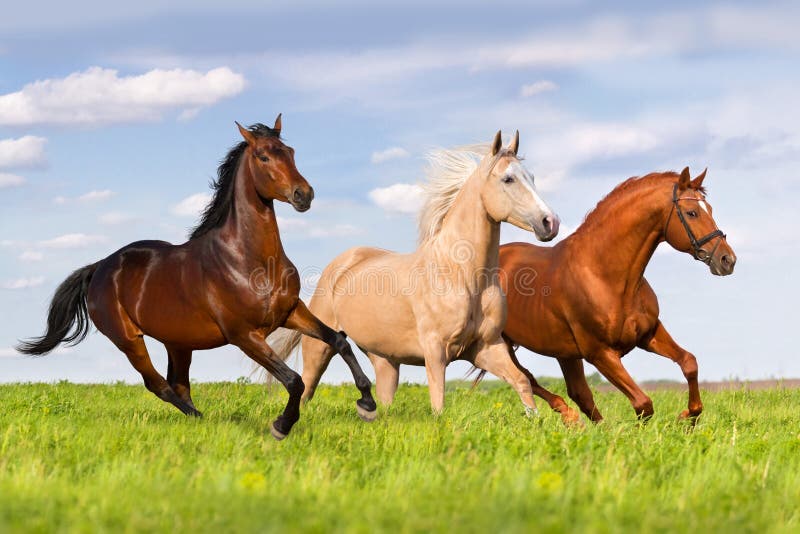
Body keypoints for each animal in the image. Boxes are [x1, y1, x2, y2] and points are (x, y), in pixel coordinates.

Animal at [18, 115, 377, 440]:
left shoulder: (291, 312)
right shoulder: (244, 334)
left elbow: (339, 341)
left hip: (178, 342)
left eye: (290, 151)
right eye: (263, 156)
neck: (249, 260)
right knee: (159, 384)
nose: (304, 194)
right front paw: (281, 425)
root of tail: (100, 267)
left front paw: (367, 404)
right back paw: (204, 419)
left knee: (178, 384)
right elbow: (293, 380)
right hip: (129, 340)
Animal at [268, 130, 566, 417]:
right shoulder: (435, 351)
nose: (550, 223)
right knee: (307, 388)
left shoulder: (485, 347)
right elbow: (438, 403)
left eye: (532, 177)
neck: (462, 276)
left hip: (384, 359)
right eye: (508, 179)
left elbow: (522, 382)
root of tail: (340, 264)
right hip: (318, 348)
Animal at [486, 167, 736, 422]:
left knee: (576, 392)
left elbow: (689, 362)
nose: (727, 260)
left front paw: (688, 417)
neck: (605, 275)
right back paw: (570, 417)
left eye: (710, 209)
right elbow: (643, 403)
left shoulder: (648, 334)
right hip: (499, 344)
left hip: (564, 353)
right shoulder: (600, 353)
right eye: (692, 212)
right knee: (525, 378)